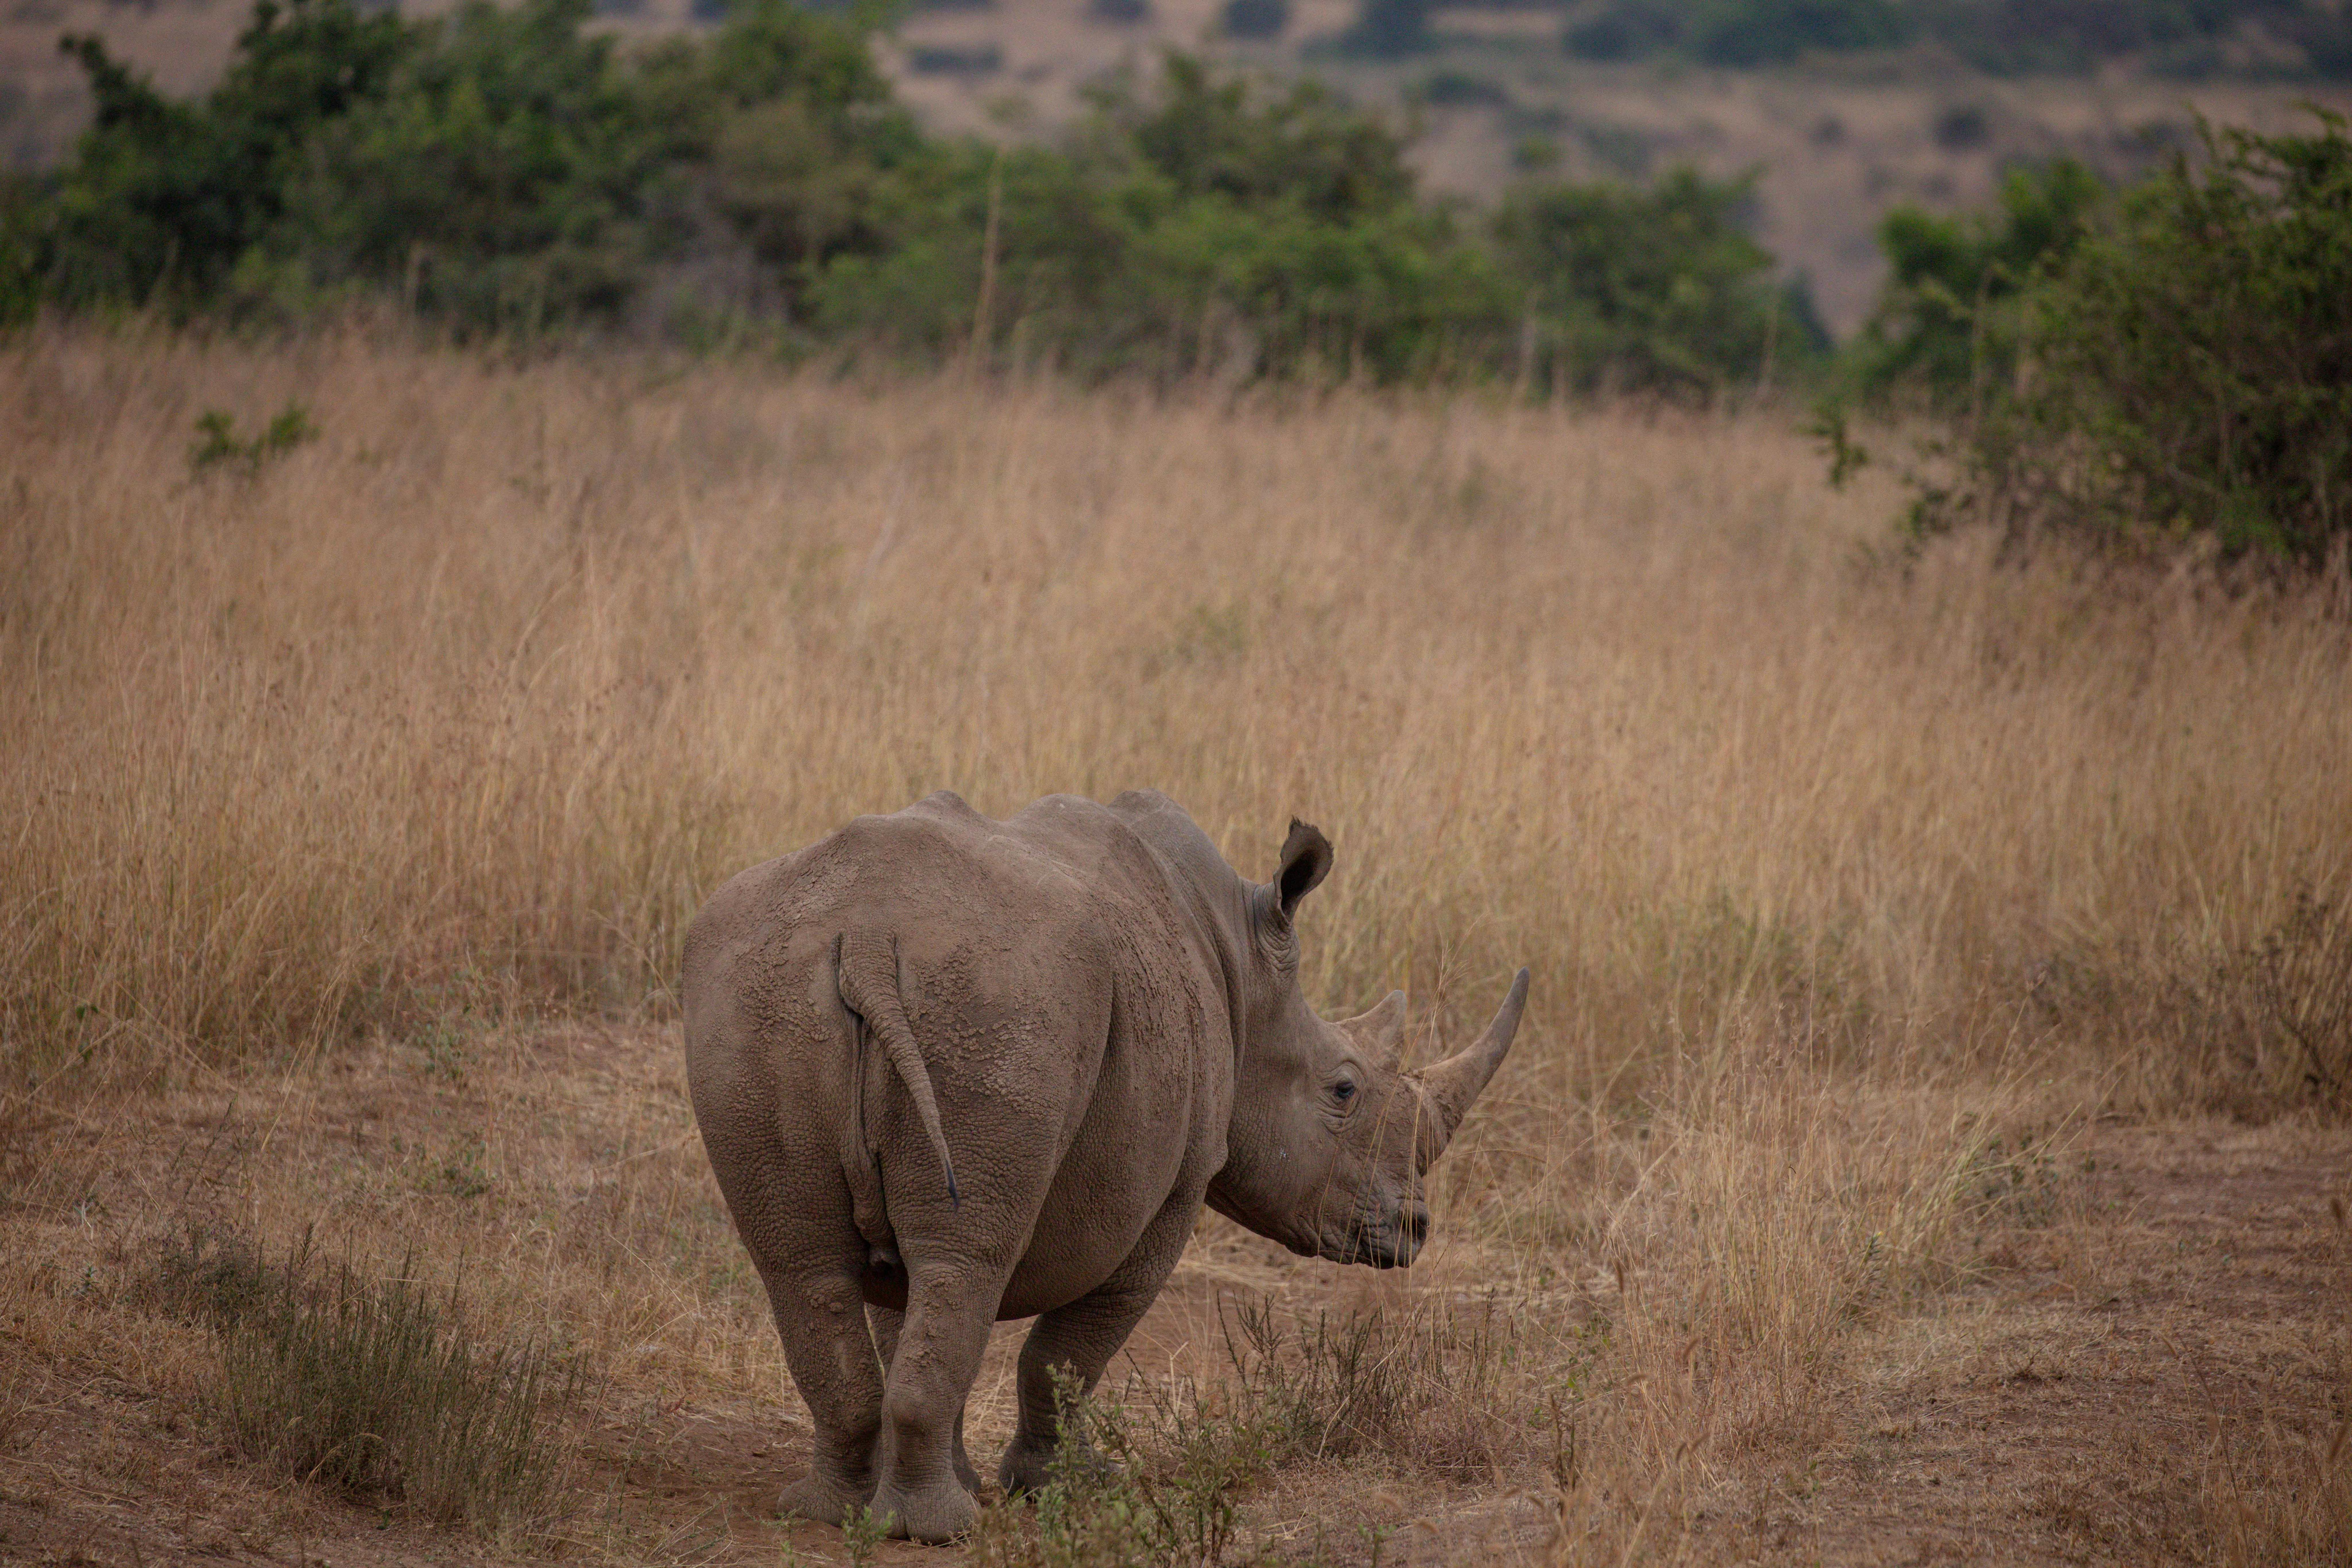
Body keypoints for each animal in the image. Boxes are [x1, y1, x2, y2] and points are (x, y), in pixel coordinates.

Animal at [683, 789, 1528, 1543]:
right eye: (1344, 1090)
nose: (1414, 1229)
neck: (1244, 969)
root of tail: (866, 934)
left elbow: (912, 1320)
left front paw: (970, 1479)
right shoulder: (1176, 1186)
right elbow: (1068, 1352)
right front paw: (1067, 1489)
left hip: (763, 993)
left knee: (815, 1264)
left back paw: (830, 1513)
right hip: (1004, 1008)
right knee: (963, 1258)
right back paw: (935, 1531)